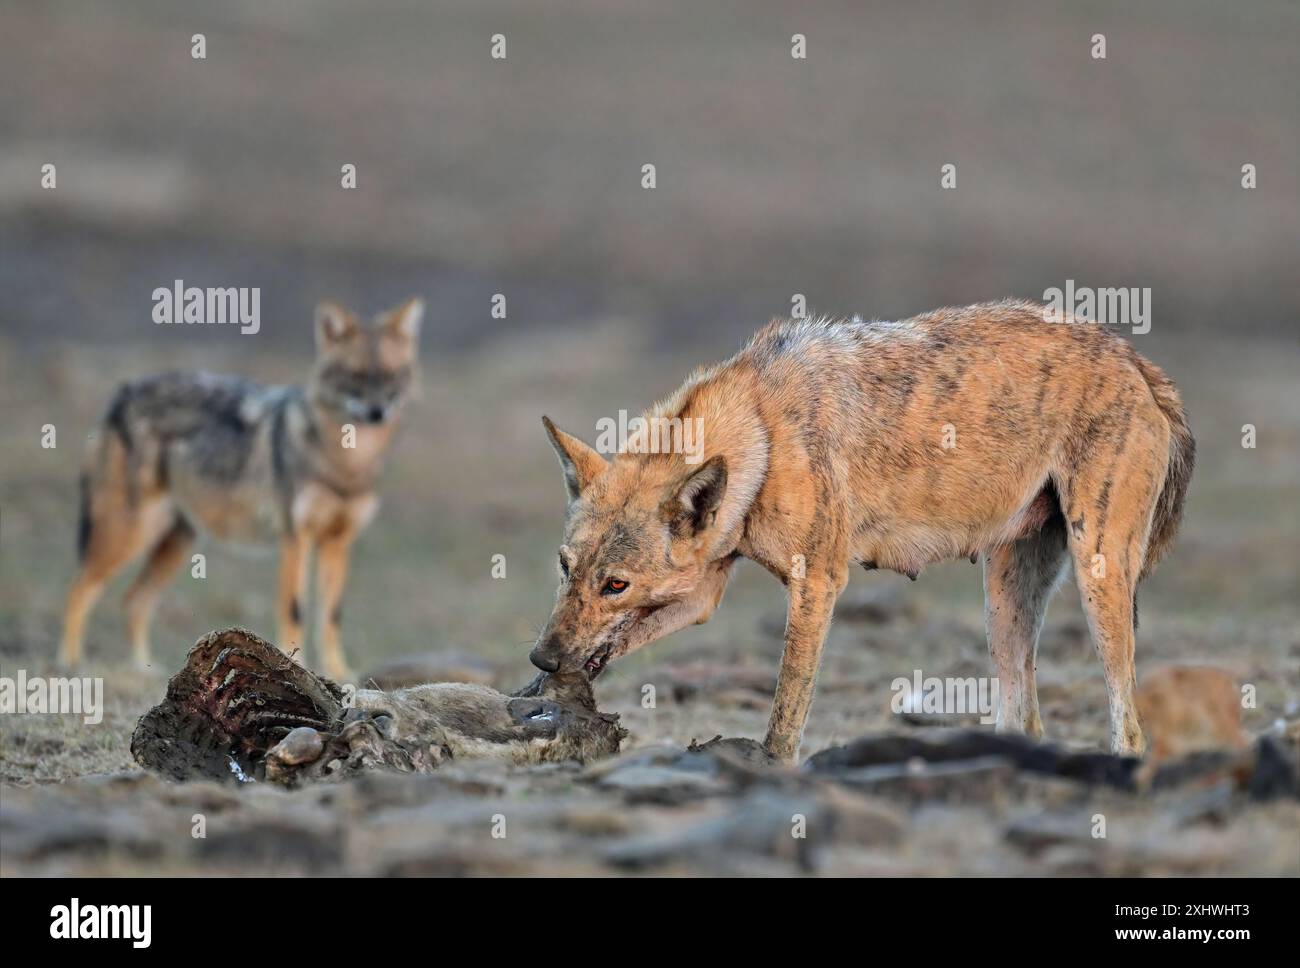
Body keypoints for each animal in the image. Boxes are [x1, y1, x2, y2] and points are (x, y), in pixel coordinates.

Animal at [59, 298, 423, 680]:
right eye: (355, 376)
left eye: (392, 376)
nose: (378, 412)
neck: (348, 463)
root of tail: (123, 391)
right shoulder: (296, 537)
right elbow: (294, 608)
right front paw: (298, 667)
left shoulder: (338, 541)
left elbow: (332, 615)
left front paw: (339, 672)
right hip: (128, 535)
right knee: (78, 589)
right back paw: (71, 663)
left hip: (176, 544)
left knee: (132, 601)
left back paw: (144, 670)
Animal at [531, 300, 1194, 762]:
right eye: (565, 568)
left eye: (615, 585)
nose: (542, 654)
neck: (762, 432)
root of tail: (1137, 362)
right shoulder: (704, 595)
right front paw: (537, 700)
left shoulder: (819, 584)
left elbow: (785, 717)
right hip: (1004, 601)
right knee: (1025, 720)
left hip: (1097, 577)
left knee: (1129, 728)